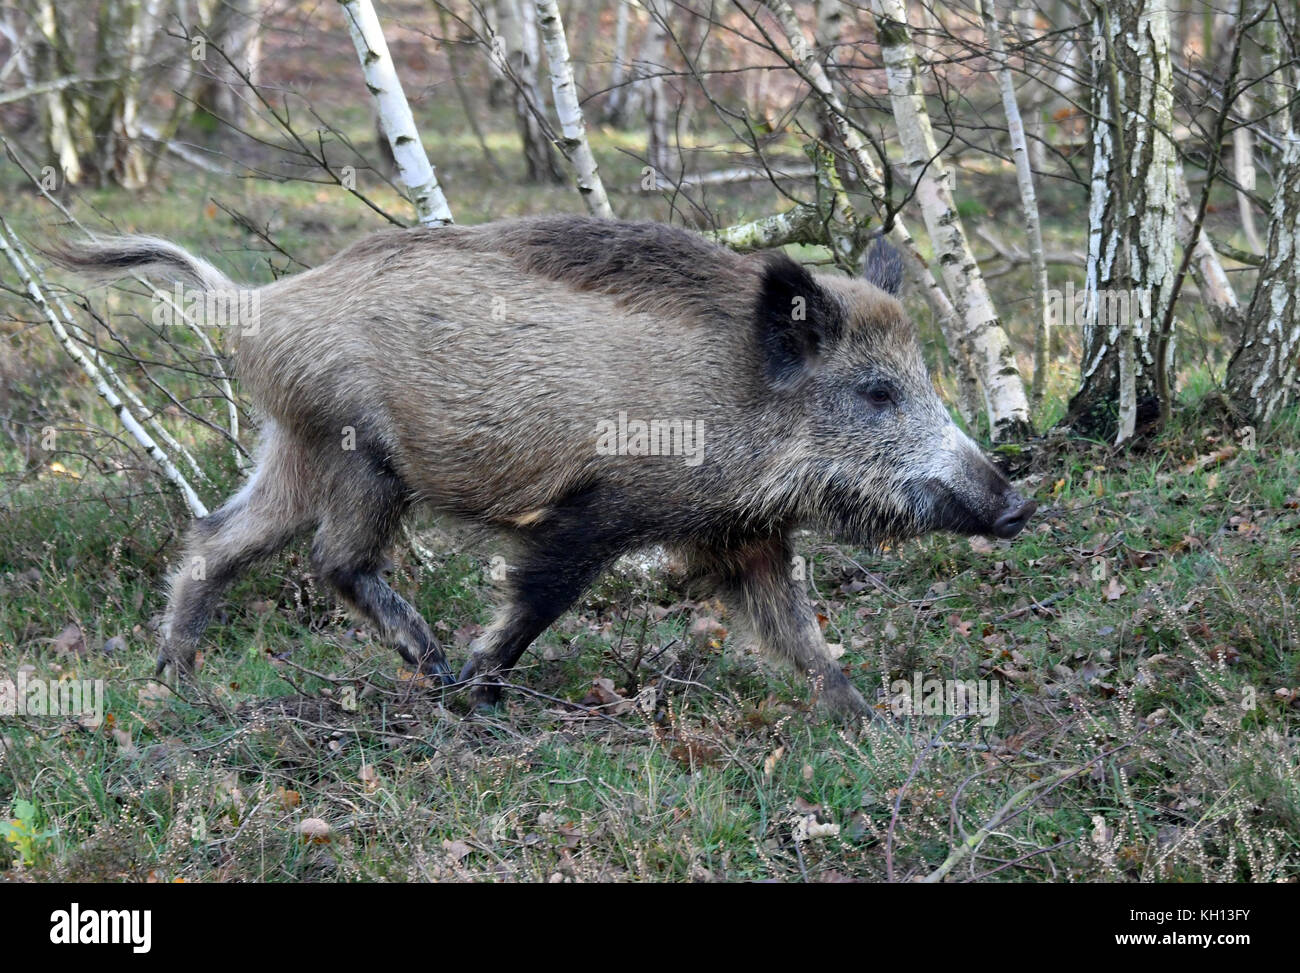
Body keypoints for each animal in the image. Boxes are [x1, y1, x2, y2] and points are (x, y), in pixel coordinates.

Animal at [49, 216, 1035, 718]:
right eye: (876, 392)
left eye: (922, 379)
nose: (1018, 505)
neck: (736, 399)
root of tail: (255, 306)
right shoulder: (600, 507)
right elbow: (539, 598)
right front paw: (482, 689)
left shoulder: (741, 531)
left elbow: (797, 631)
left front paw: (867, 718)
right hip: (360, 454)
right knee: (330, 559)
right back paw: (433, 666)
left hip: (297, 450)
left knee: (218, 537)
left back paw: (173, 677)